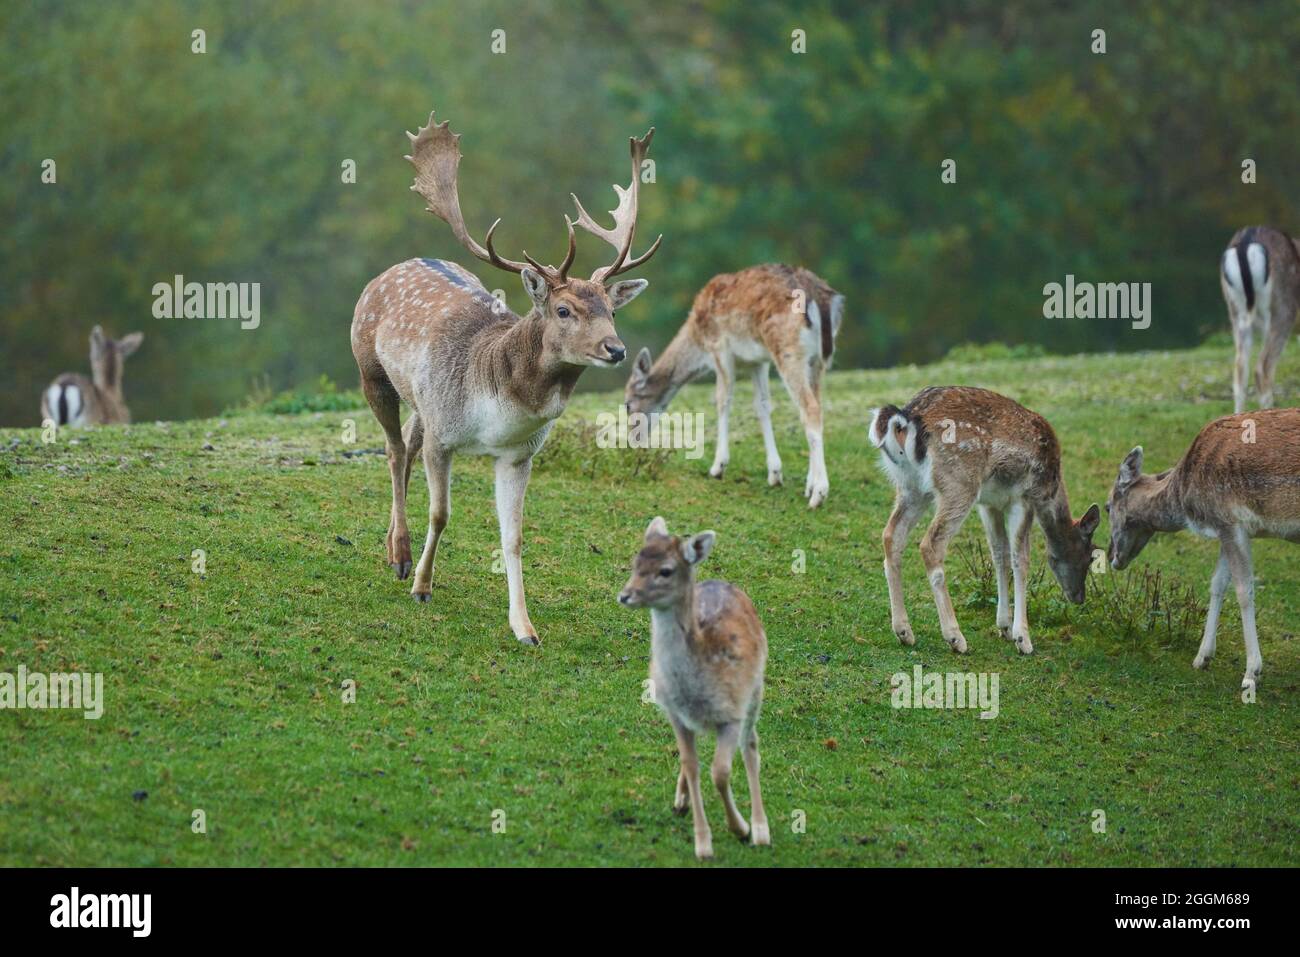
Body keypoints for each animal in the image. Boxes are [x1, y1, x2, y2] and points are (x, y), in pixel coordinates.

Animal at [350, 111, 661, 645]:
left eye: (611, 311)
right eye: (563, 309)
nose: (616, 349)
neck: (494, 405)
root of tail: (391, 269)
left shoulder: (518, 454)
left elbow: (513, 536)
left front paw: (525, 627)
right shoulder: (445, 434)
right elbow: (441, 513)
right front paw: (422, 587)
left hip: (421, 398)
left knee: (407, 440)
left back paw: (394, 549)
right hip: (371, 370)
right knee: (393, 448)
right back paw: (400, 556)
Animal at [617, 517, 769, 860]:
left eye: (665, 571)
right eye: (636, 561)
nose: (625, 596)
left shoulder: (731, 714)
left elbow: (720, 772)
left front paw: (740, 829)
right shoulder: (675, 714)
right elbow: (692, 765)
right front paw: (703, 843)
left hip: (755, 690)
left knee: (751, 746)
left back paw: (761, 829)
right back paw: (681, 800)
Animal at [624, 264, 843, 508]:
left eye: (627, 404)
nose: (632, 442)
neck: (698, 343)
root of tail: (821, 299)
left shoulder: (720, 349)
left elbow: (722, 400)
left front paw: (717, 467)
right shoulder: (758, 361)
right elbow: (762, 406)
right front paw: (774, 474)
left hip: (788, 349)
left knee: (810, 408)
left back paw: (818, 494)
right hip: (817, 360)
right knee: (817, 404)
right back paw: (809, 486)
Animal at [869, 387, 1100, 655]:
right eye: (1090, 556)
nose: (1079, 597)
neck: (1050, 492)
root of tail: (905, 419)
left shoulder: (989, 504)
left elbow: (999, 554)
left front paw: (1005, 627)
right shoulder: (1024, 498)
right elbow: (1021, 559)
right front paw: (1023, 638)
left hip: (910, 486)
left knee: (891, 535)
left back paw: (904, 631)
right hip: (959, 483)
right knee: (930, 544)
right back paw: (955, 637)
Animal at [1106, 409, 1300, 694]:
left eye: (1107, 506)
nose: (1111, 557)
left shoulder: (1232, 521)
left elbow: (1244, 590)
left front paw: (1252, 672)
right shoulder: (1226, 527)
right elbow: (1217, 583)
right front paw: (1202, 657)